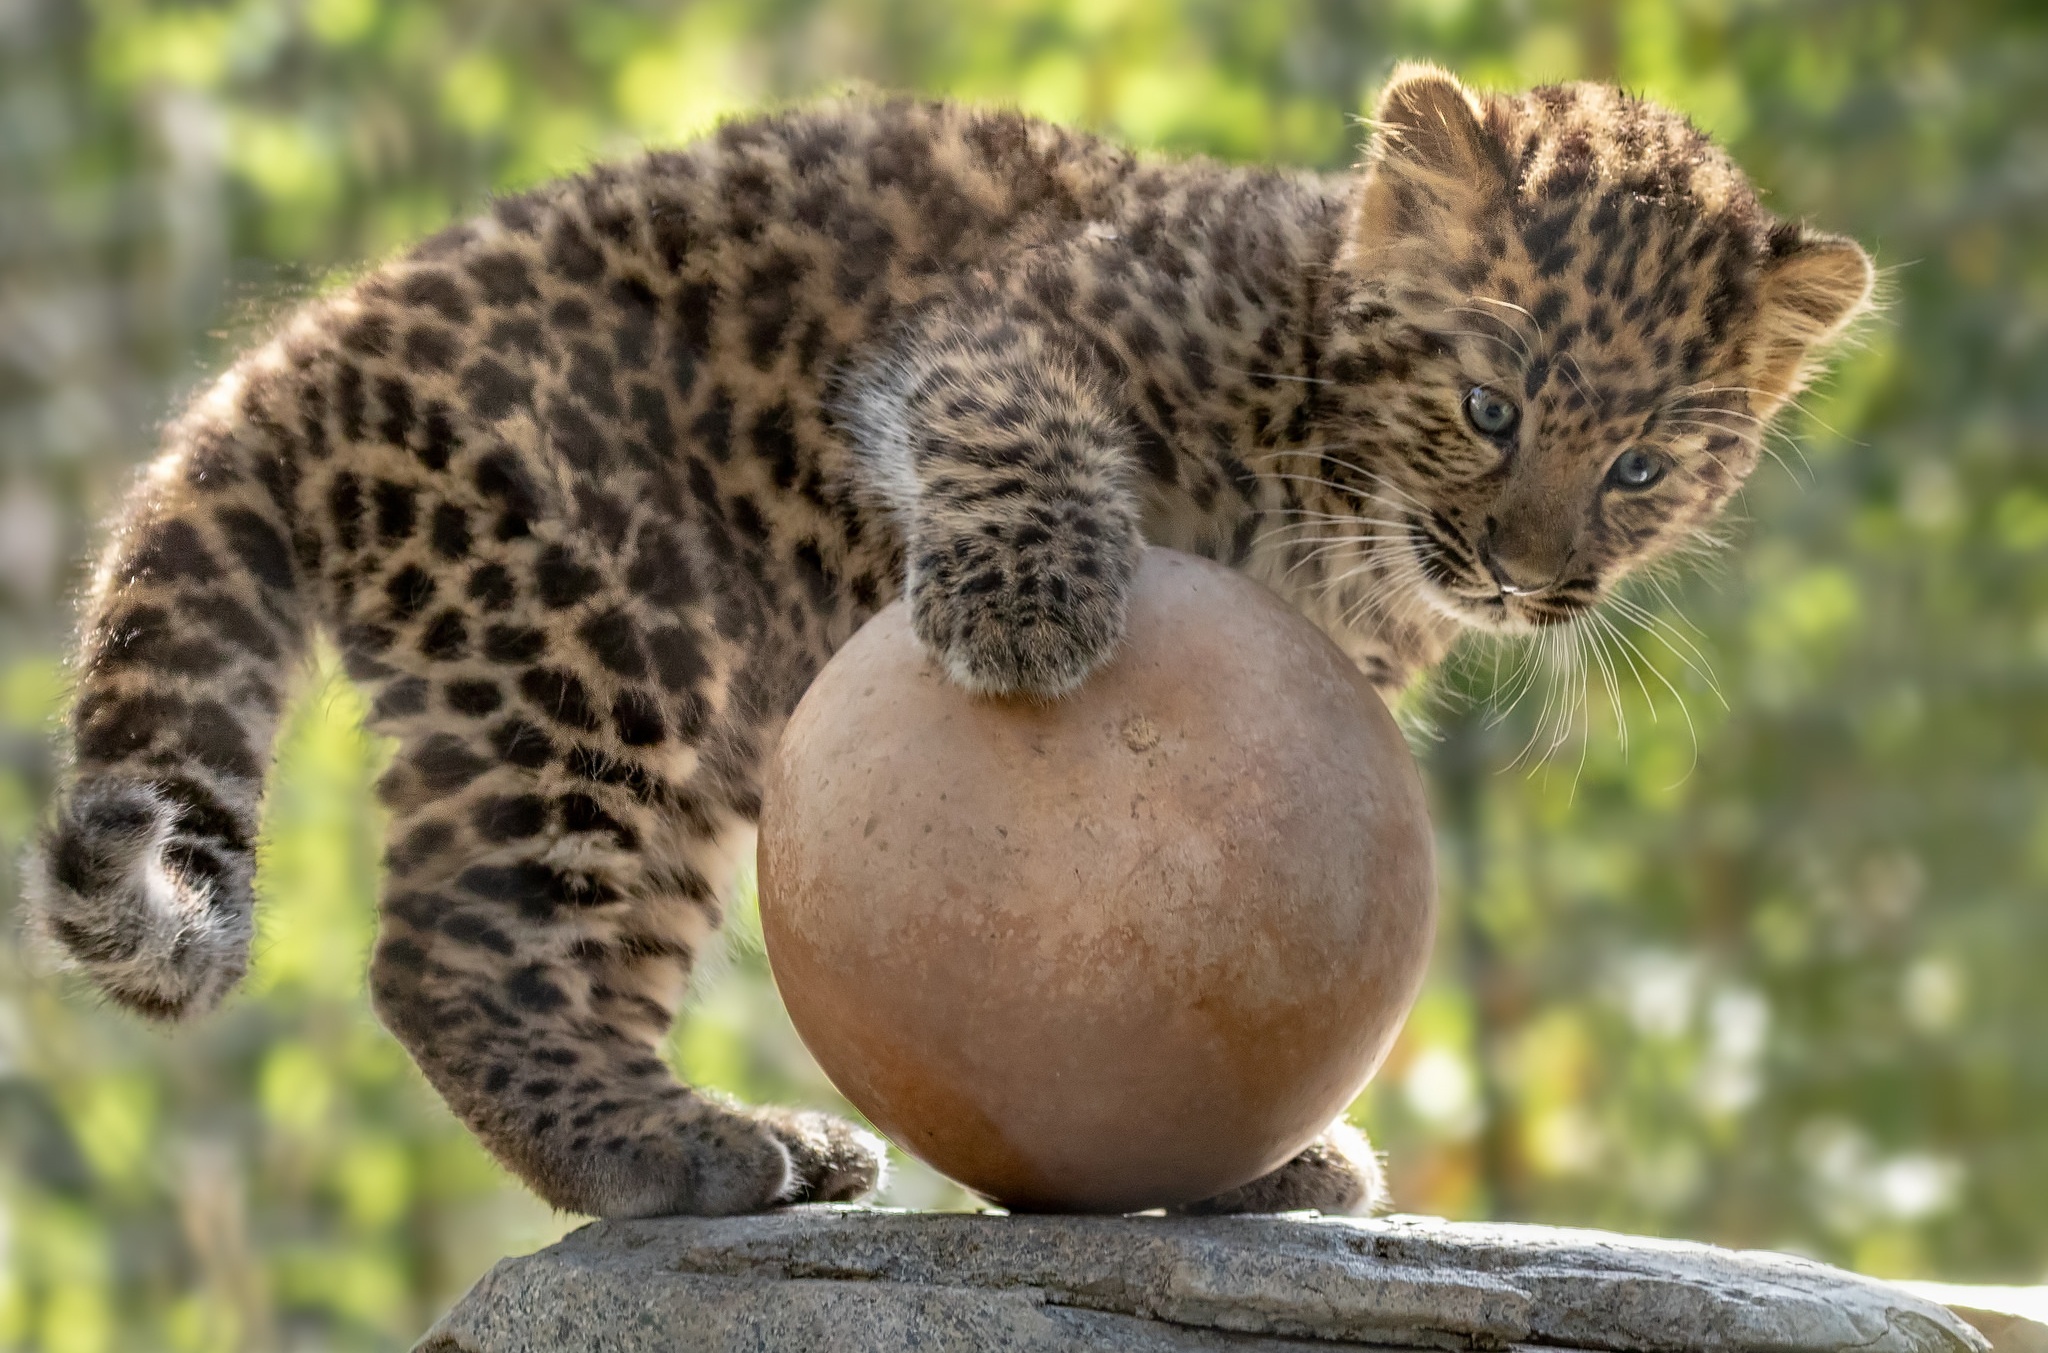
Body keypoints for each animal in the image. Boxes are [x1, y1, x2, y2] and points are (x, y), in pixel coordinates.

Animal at [26, 65, 1872, 1221]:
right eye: (1490, 406)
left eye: (1643, 469)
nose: (1531, 577)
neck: (1341, 487)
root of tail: (295, 357)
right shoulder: (1011, 323)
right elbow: (1015, 421)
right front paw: (1028, 608)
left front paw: (1257, 1164)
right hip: (602, 636)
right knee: (461, 952)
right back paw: (687, 1149)